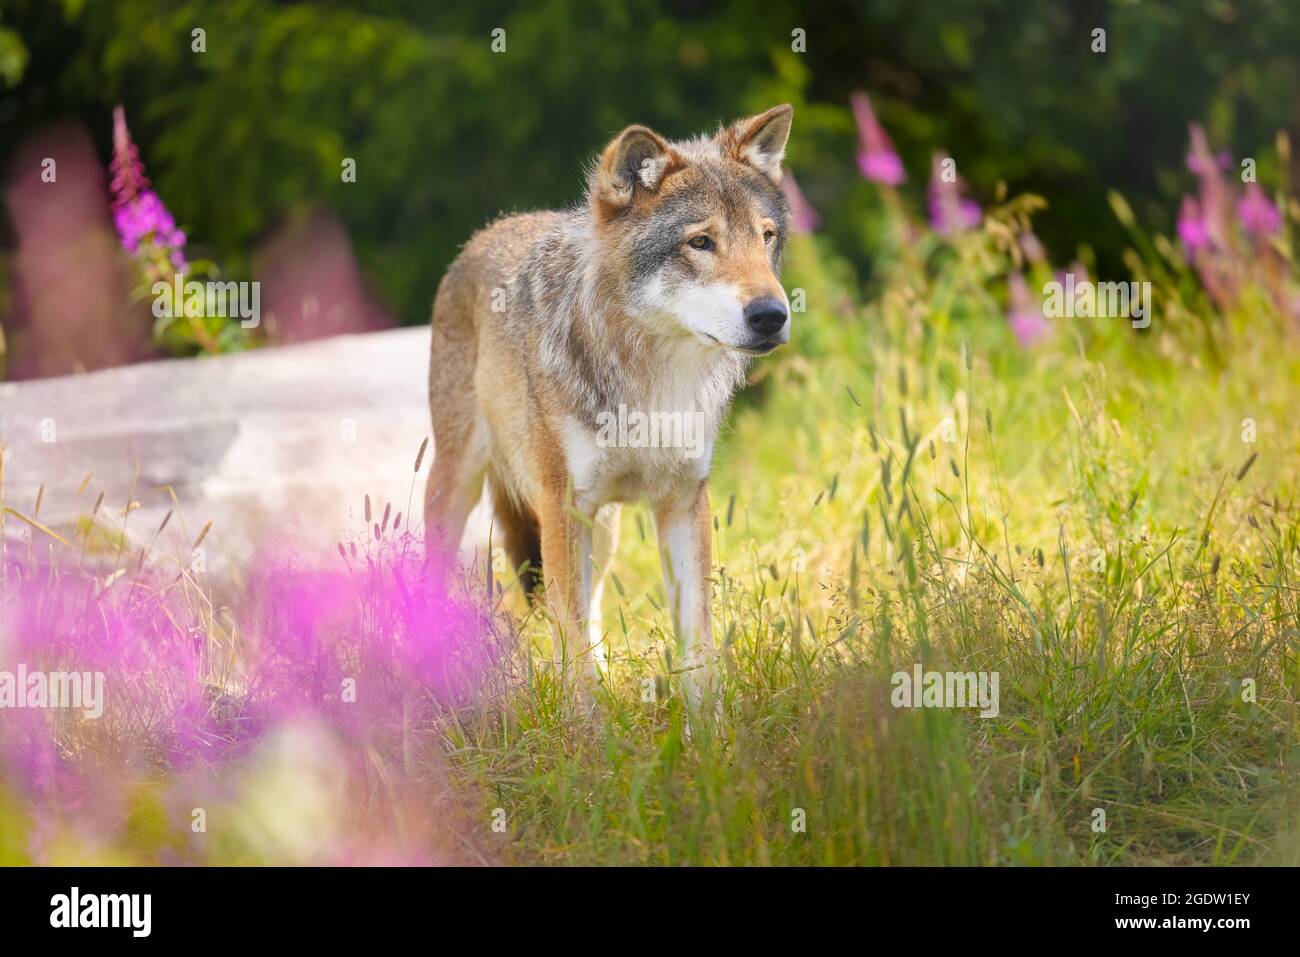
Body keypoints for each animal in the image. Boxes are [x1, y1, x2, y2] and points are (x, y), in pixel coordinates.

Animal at [425, 105, 794, 717]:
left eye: (765, 238)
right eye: (701, 242)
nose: (772, 314)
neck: (653, 381)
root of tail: (491, 229)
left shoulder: (683, 501)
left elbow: (699, 646)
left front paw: (710, 734)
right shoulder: (561, 506)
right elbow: (568, 638)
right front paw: (587, 734)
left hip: (604, 530)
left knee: (592, 610)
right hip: (460, 487)